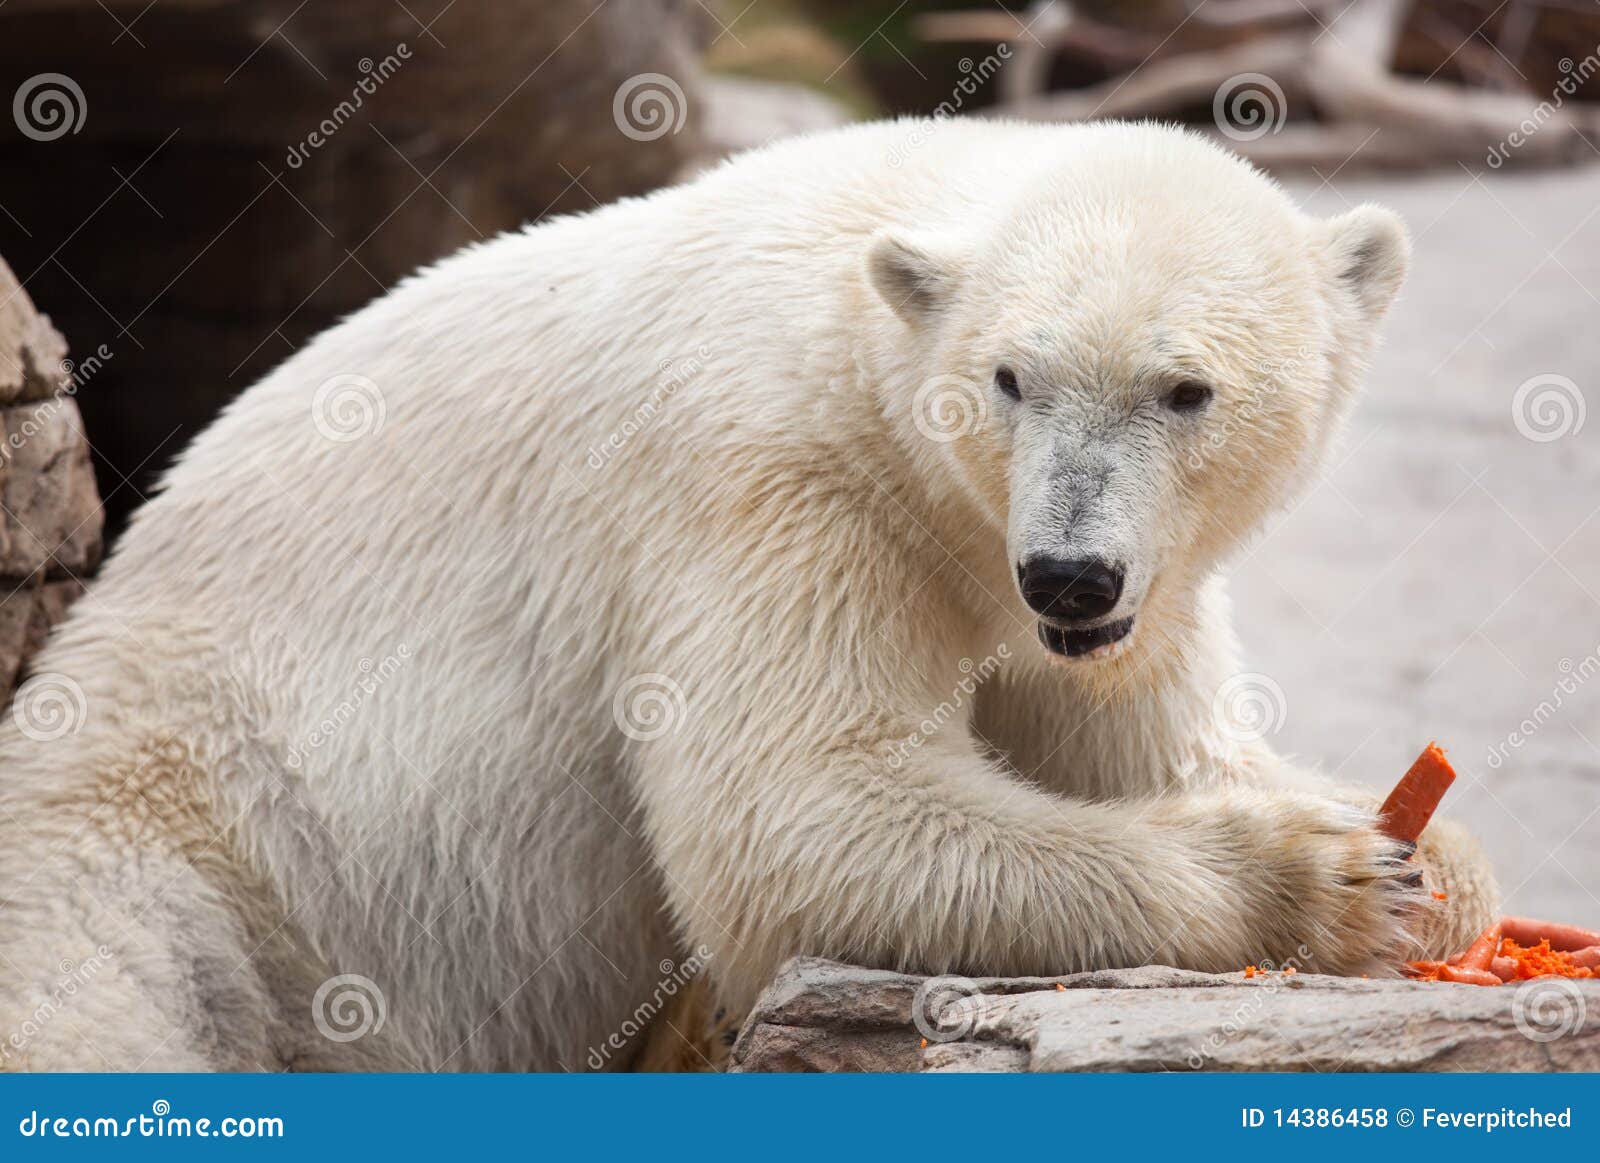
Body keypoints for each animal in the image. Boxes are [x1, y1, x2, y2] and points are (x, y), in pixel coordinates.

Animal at [0, 118, 1496, 1072]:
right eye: (1012, 377)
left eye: (1186, 390)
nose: (1071, 569)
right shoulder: (769, 487)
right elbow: (797, 809)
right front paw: (1331, 874)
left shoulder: (1101, 595)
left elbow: (1153, 744)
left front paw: (1435, 864)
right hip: (188, 833)